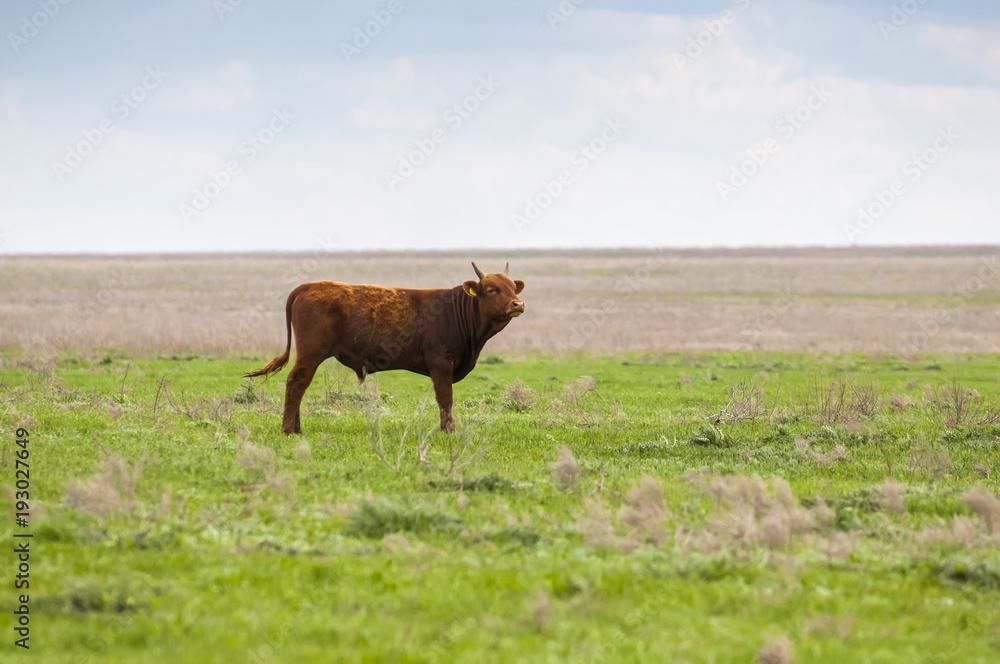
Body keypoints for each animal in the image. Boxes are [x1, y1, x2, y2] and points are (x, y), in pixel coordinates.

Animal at [245, 262, 525, 434]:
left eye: (513, 288)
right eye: (492, 289)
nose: (518, 304)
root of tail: (309, 286)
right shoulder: (441, 363)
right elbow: (445, 398)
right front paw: (449, 430)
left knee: (299, 385)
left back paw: (296, 428)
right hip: (310, 354)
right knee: (296, 383)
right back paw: (288, 429)